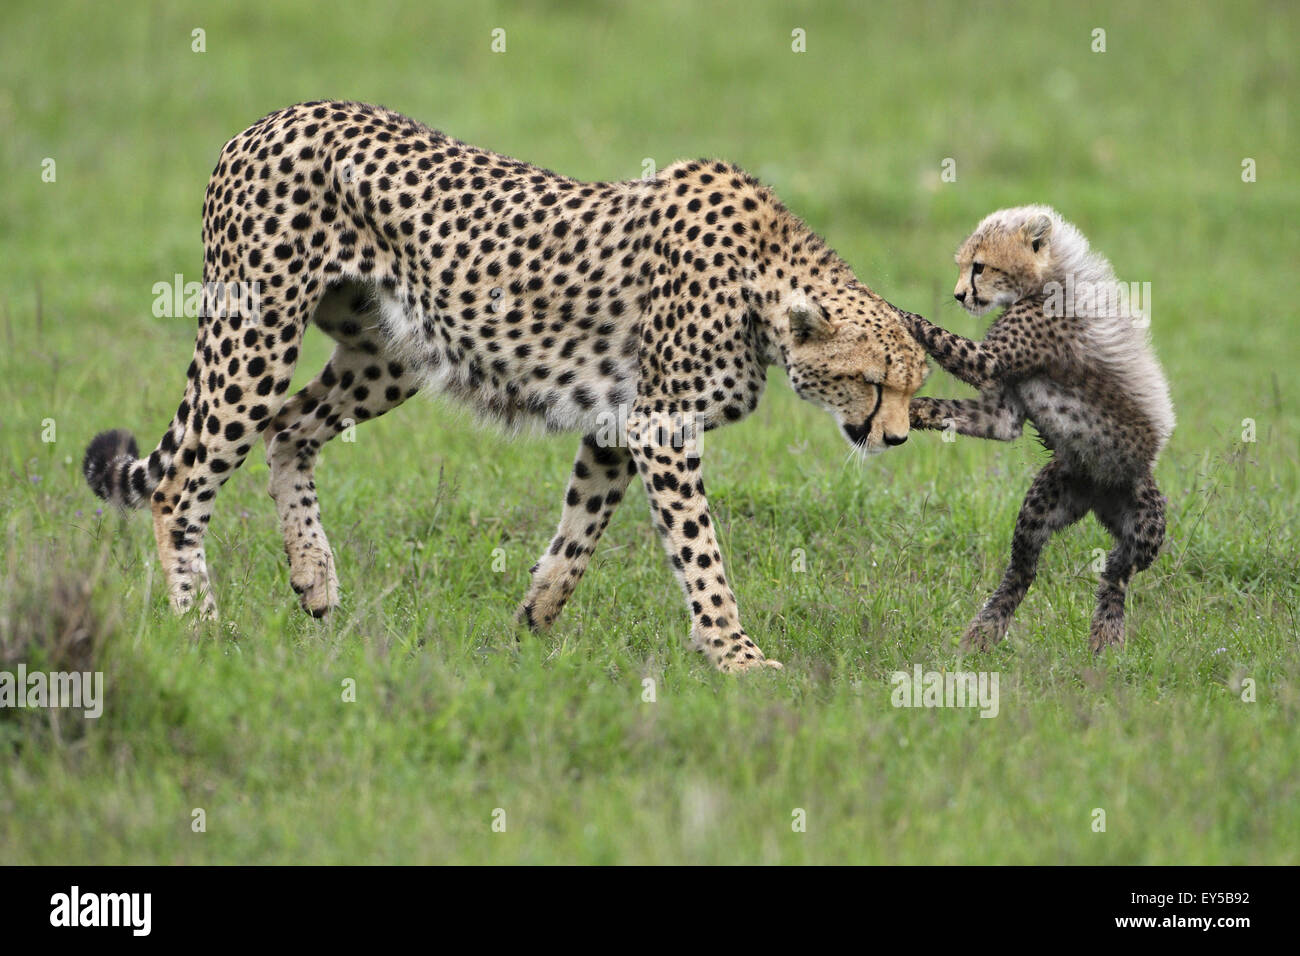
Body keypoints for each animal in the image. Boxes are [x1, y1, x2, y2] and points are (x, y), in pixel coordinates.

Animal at [82, 101, 928, 672]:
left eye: (914, 387)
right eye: (871, 381)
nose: (897, 437)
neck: (766, 277)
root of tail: (269, 118)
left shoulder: (617, 424)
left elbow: (579, 532)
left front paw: (535, 618)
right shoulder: (661, 426)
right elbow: (701, 554)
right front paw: (739, 660)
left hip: (391, 352)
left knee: (289, 428)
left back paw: (312, 574)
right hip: (256, 332)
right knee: (183, 481)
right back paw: (201, 626)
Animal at [901, 205, 1174, 654]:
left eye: (979, 266)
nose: (959, 295)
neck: (1046, 281)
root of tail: (1097, 497)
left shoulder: (989, 362)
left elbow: (935, 333)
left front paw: (888, 309)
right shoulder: (1002, 416)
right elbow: (976, 414)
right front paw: (908, 410)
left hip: (1146, 524)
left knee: (1120, 570)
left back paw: (1106, 635)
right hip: (1043, 503)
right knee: (1023, 569)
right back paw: (984, 632)